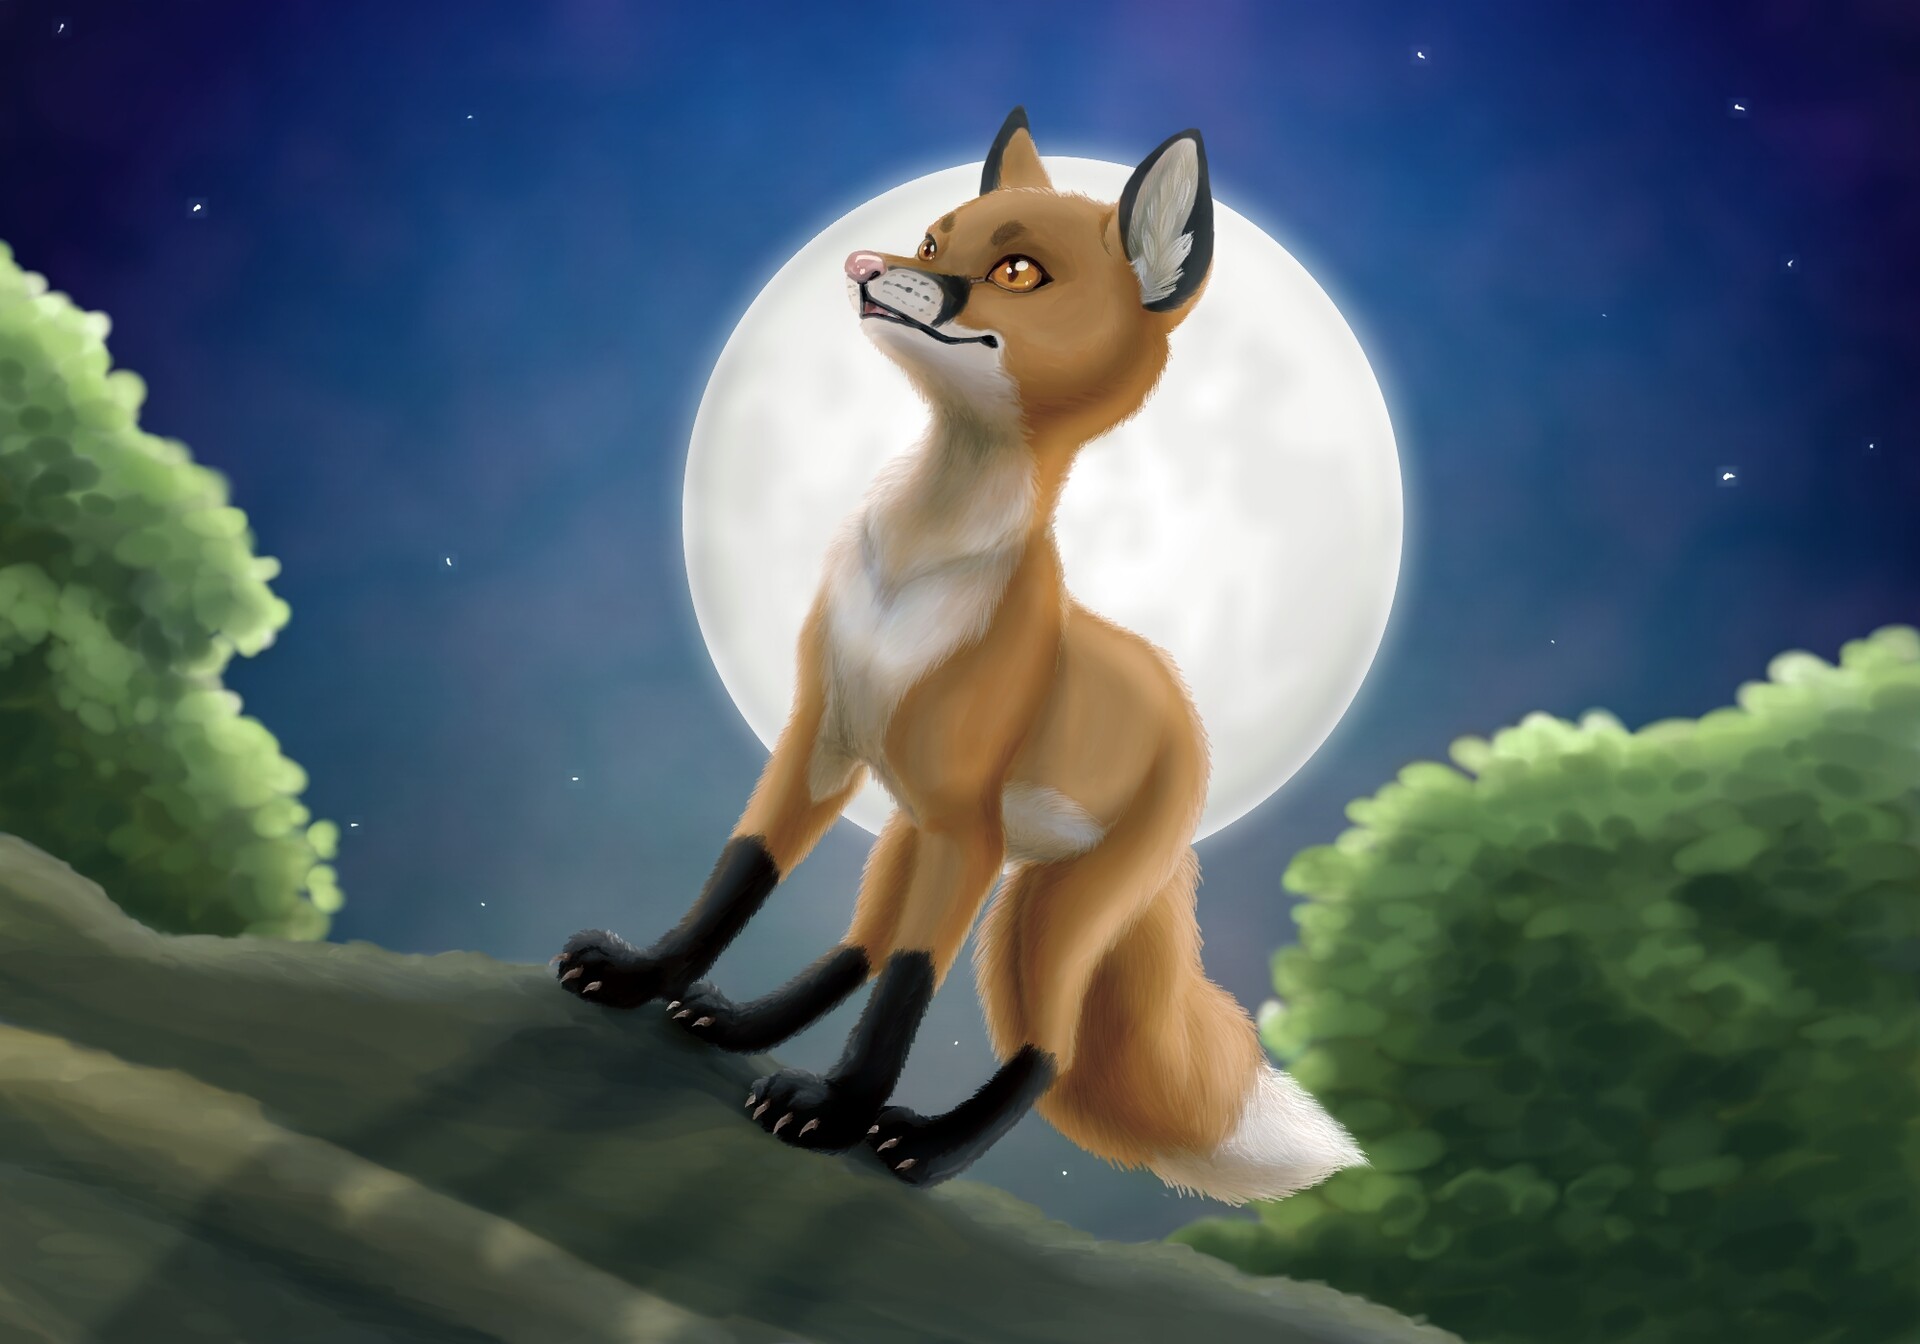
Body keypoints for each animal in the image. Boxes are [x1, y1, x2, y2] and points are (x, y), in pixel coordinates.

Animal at [554, 108, 1365, 1202]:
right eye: (933, 241)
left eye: (1018, 270)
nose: (862, 265)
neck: (915, 568)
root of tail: (1185, 717)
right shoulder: (821, 743)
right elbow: (738, 881)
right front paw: (645, 978)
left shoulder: (965, 831)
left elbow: (909, 989)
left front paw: (837, 1114)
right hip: (915, 831)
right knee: (861, 944)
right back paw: (744, 1025)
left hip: (1042, 908)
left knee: (1044, 1049)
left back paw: (930, 1145)